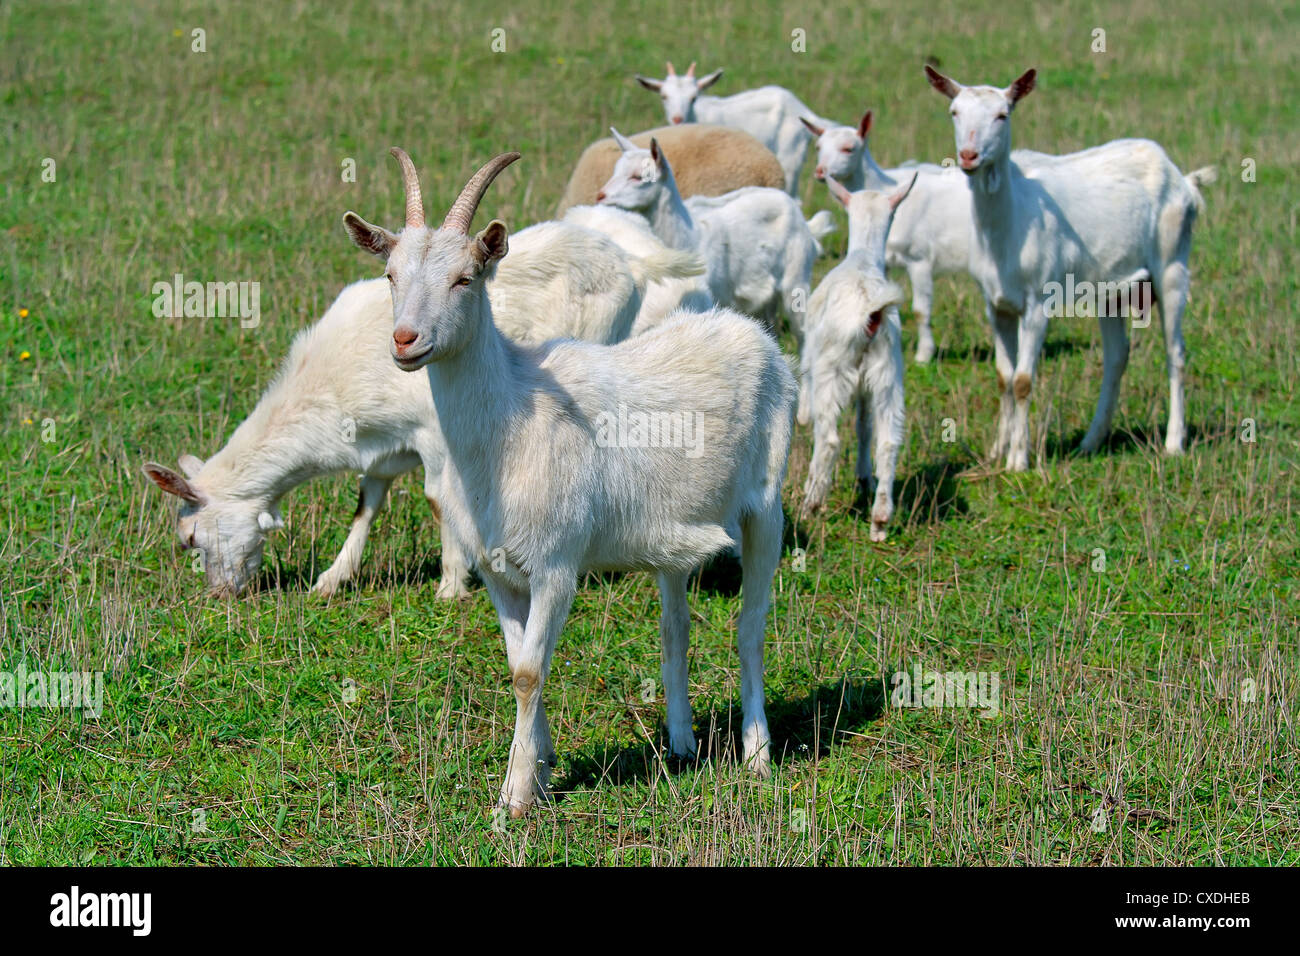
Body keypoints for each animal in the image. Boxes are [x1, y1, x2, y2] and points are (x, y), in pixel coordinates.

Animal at [342, 148, 796, 815]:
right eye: (391, 275)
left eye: (465, 278)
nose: (405, 341)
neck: (510, 421)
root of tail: (753, 333)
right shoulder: (498, 569)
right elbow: (517, 660)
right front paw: (542, 764)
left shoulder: (556, 563)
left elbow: (530, 671)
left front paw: (514, 798)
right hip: (674, 533)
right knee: (676, 627)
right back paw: (682, 742)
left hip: (765, 506)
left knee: (752, 627)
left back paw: (758, 755)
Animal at [926, 65, 1213, 470]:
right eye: (954, 112)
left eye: (1002, 115)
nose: (968, 155)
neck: (1010, 222)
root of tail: (1183, 179)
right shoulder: (995, 304)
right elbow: (1003, 377)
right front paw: (996, 452)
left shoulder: (1038, 300)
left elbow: (1022, 381)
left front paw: (1018, 462)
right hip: (1113, 289)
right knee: (1116, 356)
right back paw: (1091, 442)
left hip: (1173, 261)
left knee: (1177, 353)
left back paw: (1174, 442)